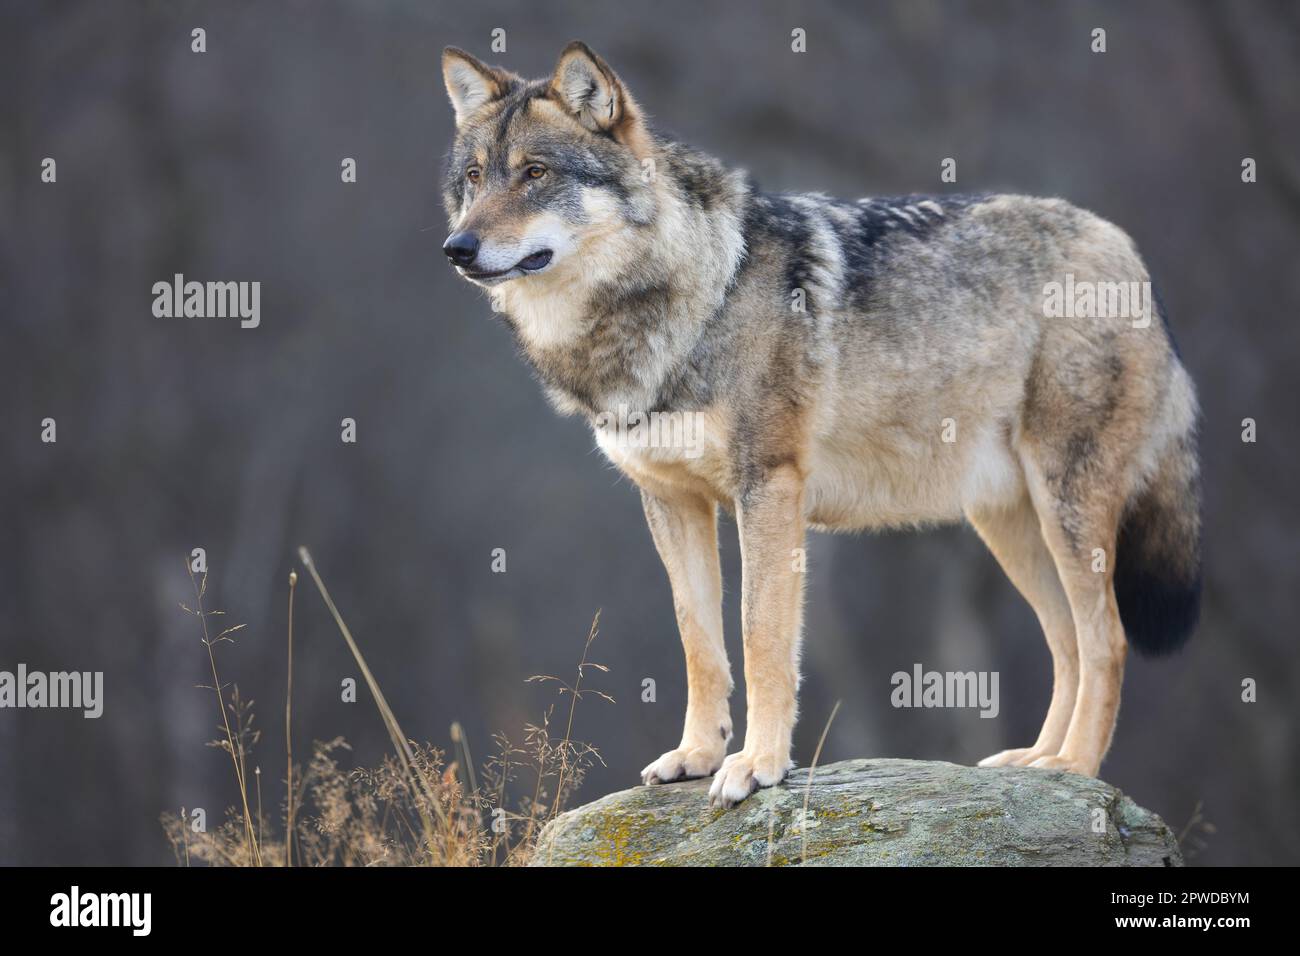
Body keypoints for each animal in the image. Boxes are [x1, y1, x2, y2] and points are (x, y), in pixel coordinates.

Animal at [440, 42, 1201, 808]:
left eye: (535, 174)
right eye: (475, 177)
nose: (456, 248)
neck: (693, 293)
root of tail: (1124, 246)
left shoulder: (769, 489)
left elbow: (761, 640)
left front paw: (757, 765)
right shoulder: (671, 501)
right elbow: (699, 642)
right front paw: (696, 756)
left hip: (1065, 507)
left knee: (1106, 640)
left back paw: (1076, 768)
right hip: (1009, 524)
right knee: (1066, 641)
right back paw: (1037, 764)